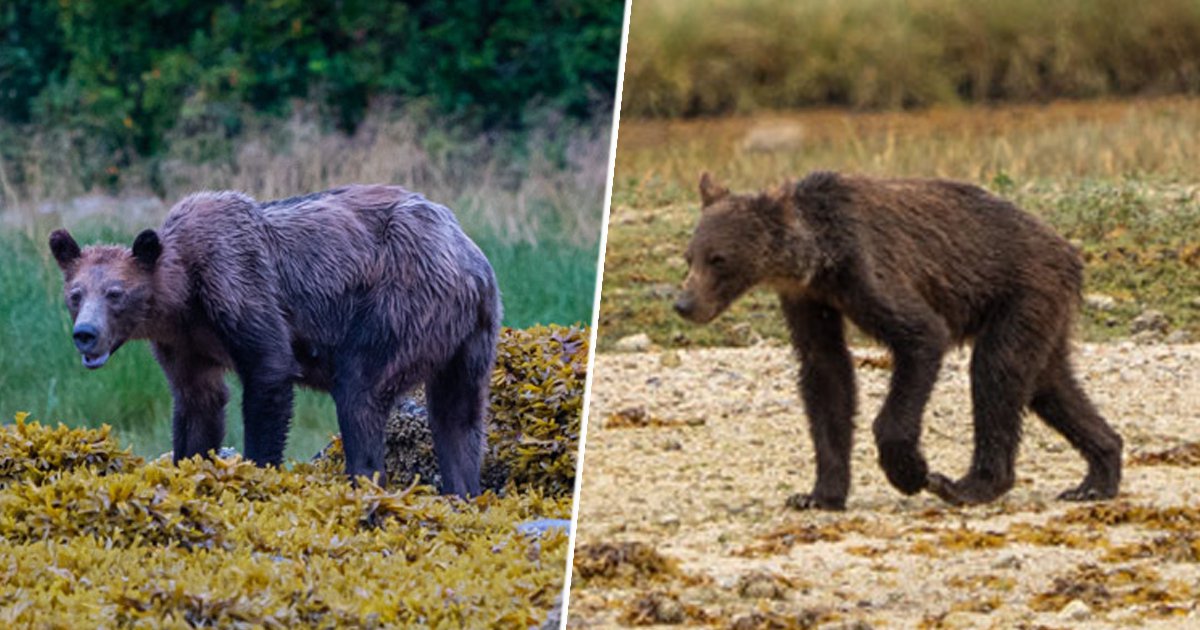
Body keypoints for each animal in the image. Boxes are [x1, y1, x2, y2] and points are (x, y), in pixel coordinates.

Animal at [48, 184, 501, 496]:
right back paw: (463, 489)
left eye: (115, 293)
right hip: (469, 340)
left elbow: (269, 371)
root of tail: (470, 259)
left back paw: (365, 482)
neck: (184, 295)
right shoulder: (184, 341)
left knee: (360, 392)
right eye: (76, 294)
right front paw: (188, 464)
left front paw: (256, 469)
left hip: (398, 303)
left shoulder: (238, 284)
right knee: (458, 416)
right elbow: (199, 401)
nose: (85, 334)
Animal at [673, 171, 1123, 509]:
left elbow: (921, 336)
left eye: (718, 259)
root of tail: (1069, 250)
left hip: (1022, 290)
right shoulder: (808, 299)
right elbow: (826, 374)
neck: (819, 259)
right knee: (1048, 384)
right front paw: (817, 494)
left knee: (997, 370)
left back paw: (966, 485)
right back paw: (1097, 476)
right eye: (689, 256)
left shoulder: (867, 269)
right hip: (1043, 310)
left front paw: (910, 471)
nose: (684, 302)